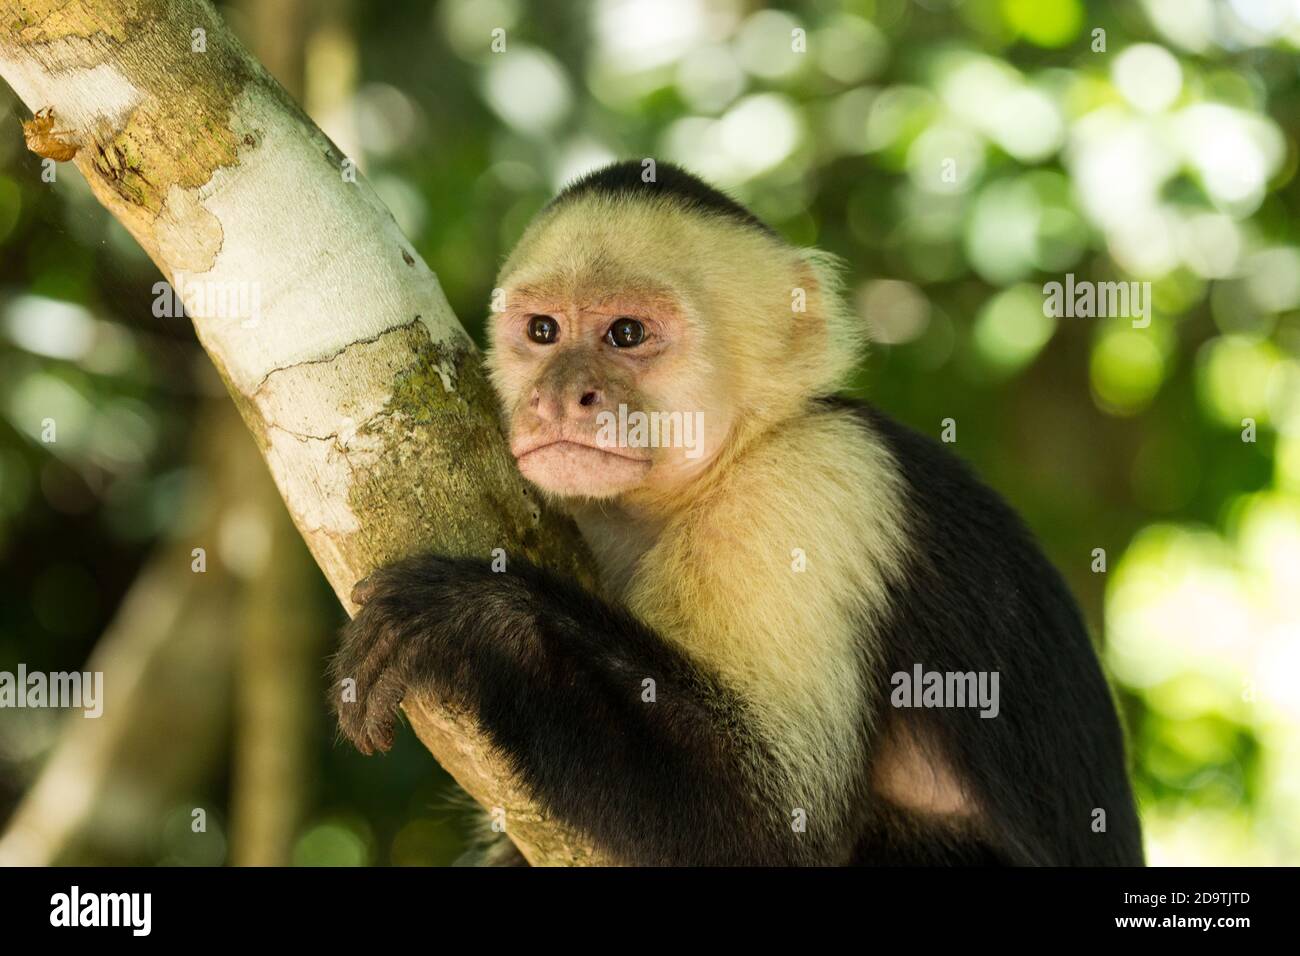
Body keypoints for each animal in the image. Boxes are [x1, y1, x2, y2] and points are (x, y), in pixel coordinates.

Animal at [330, 160, 1144, 867]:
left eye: (627, 334)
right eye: (542, 332)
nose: (561, 395)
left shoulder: (812, 487)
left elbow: (775, 829)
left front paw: (473, 620)